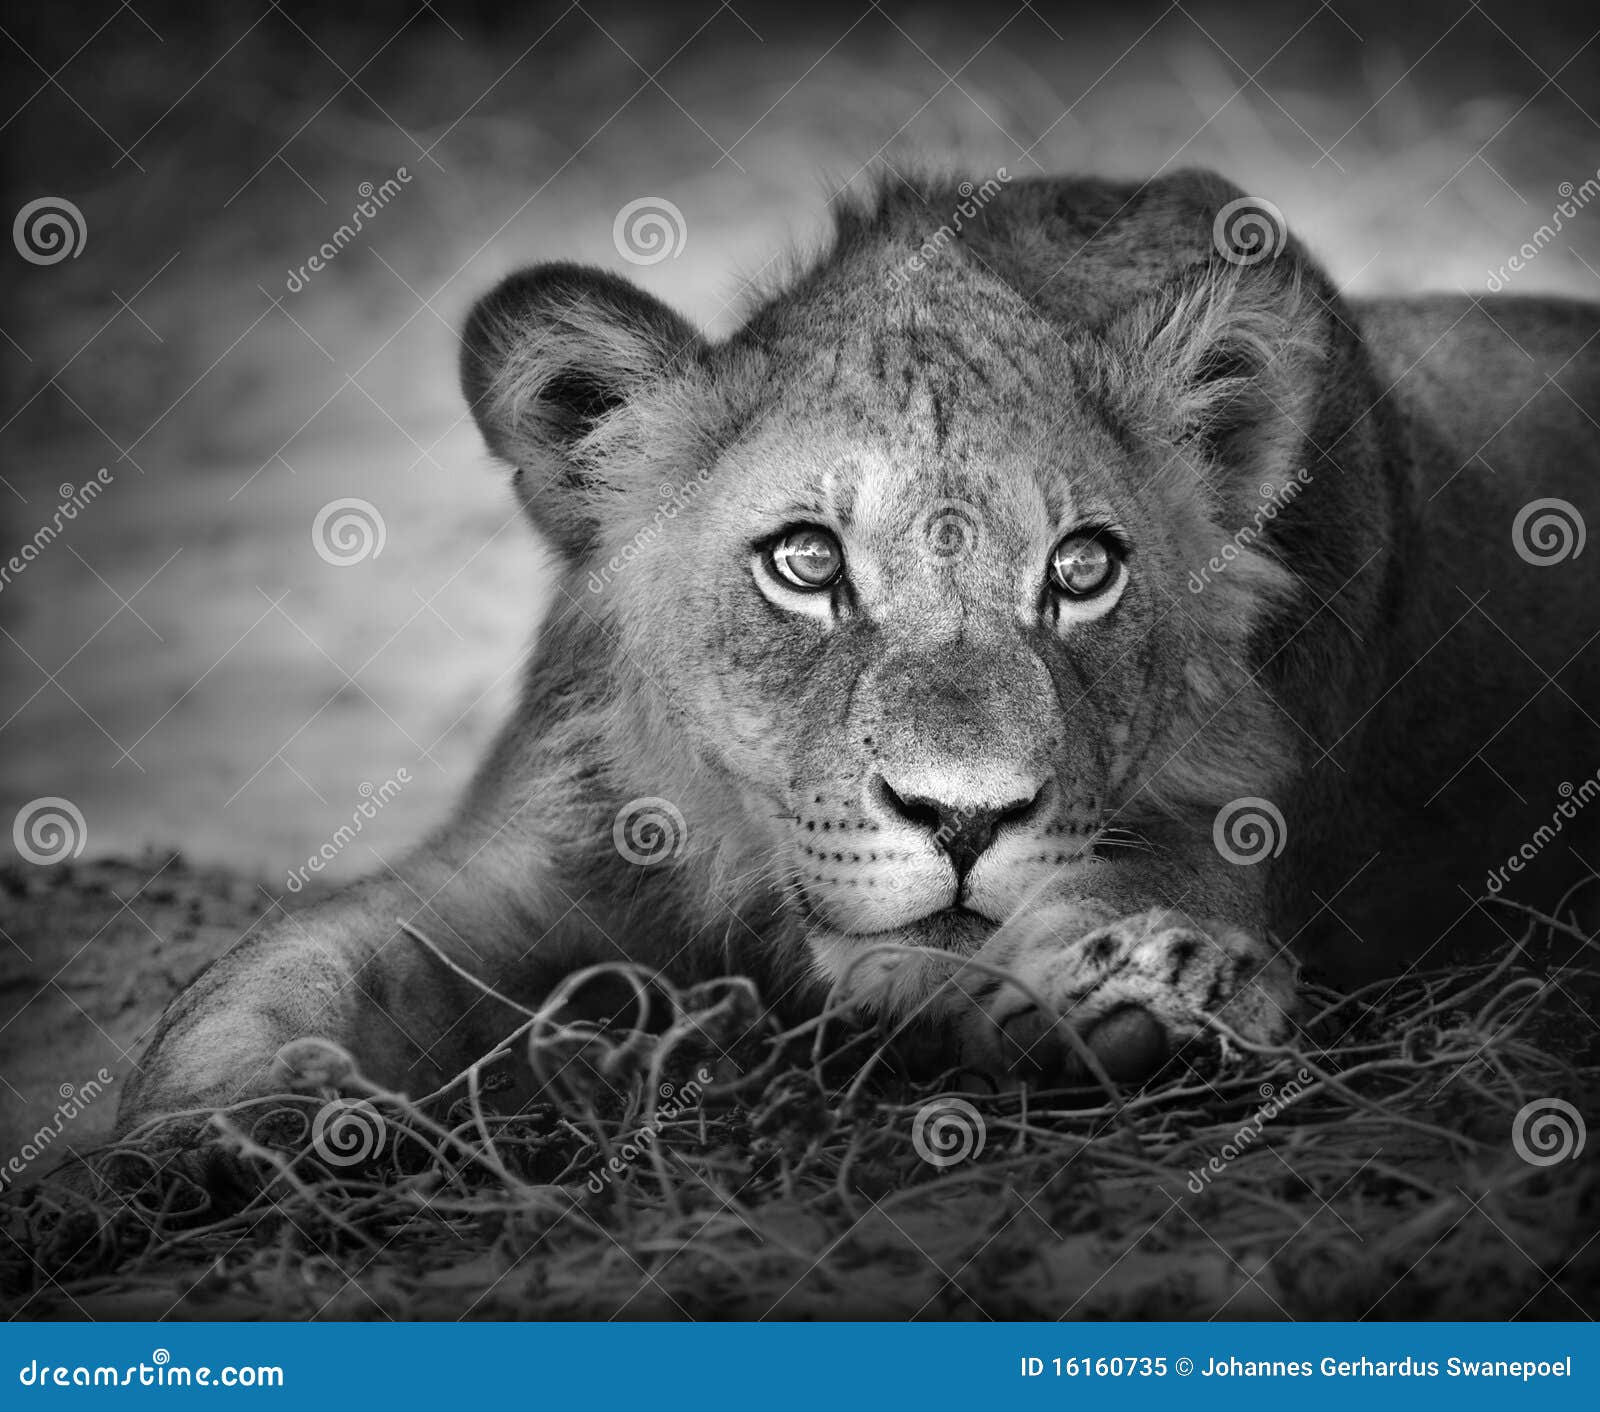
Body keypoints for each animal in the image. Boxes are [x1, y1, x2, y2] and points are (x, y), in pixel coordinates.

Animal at [119, 169, 1599, 1152]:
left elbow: (1145, 892)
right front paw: (214, 1124)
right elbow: (290, 966)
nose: (963, 816)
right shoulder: (540, 850)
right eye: (804, 561)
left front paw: (1156, 993)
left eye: (1082, 571)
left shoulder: (1232, 811)